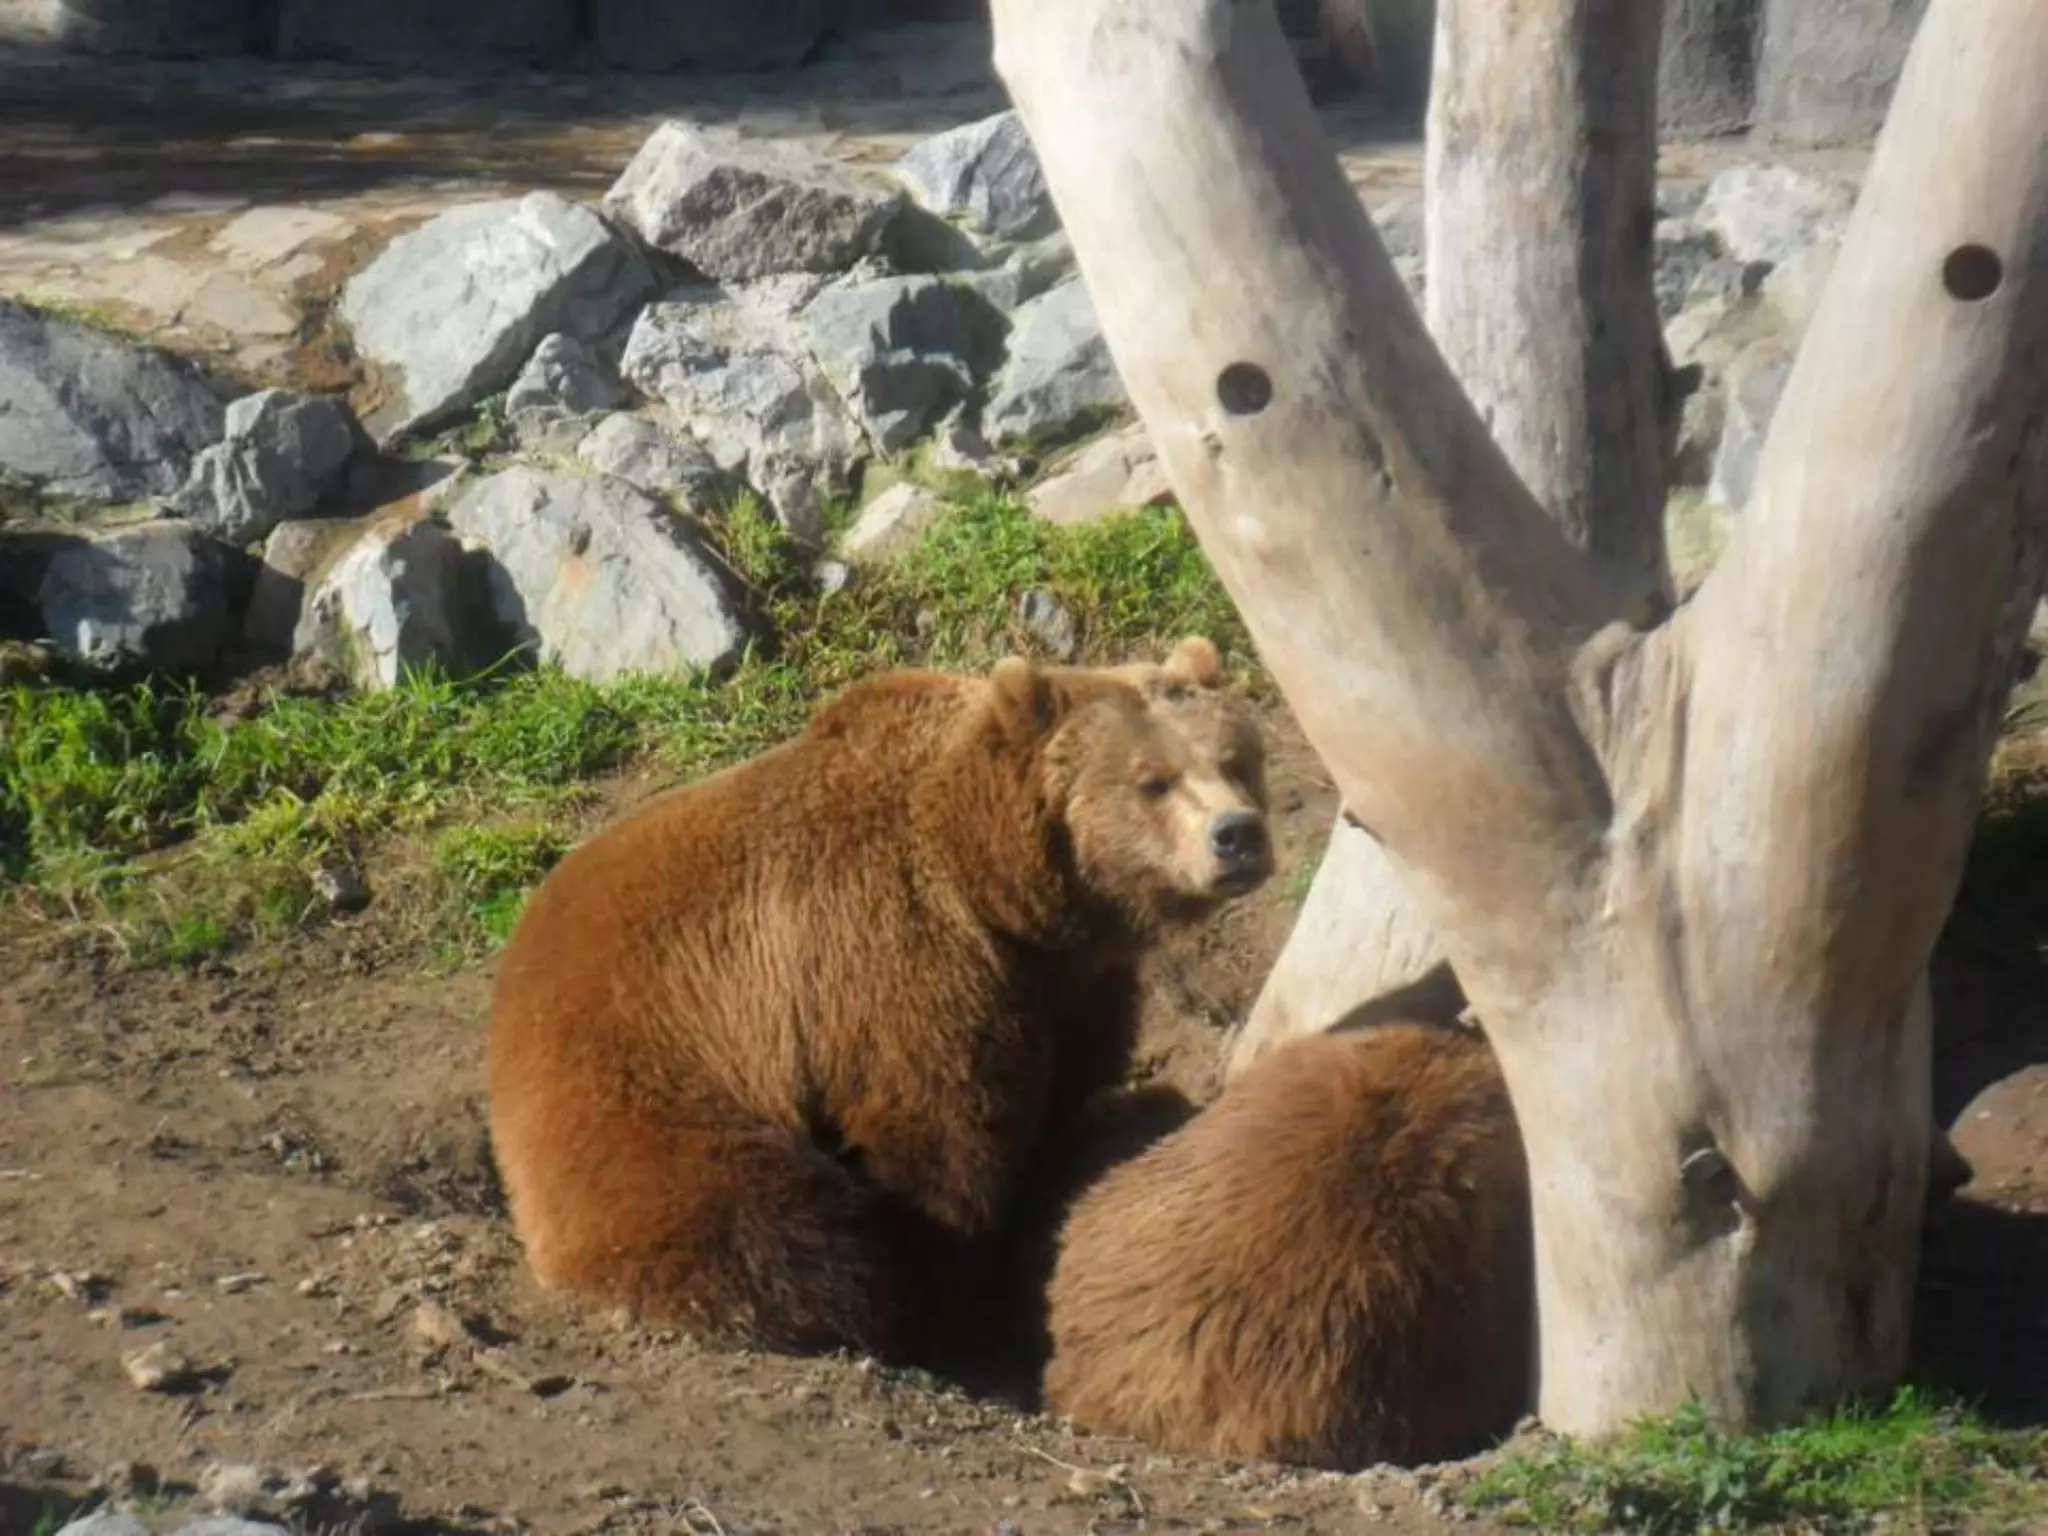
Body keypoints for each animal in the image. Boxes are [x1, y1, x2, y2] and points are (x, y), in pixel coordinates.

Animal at [484, 635, 1273, 1373]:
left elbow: (1067, 1087)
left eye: (1236, 759)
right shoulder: (892, 948)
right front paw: (951, 1304)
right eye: (1154, 782)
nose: (1238, 835)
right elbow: (941, 1135)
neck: (998, 884)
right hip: (639, 1086)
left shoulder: (1063, 983)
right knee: (756, 1218)